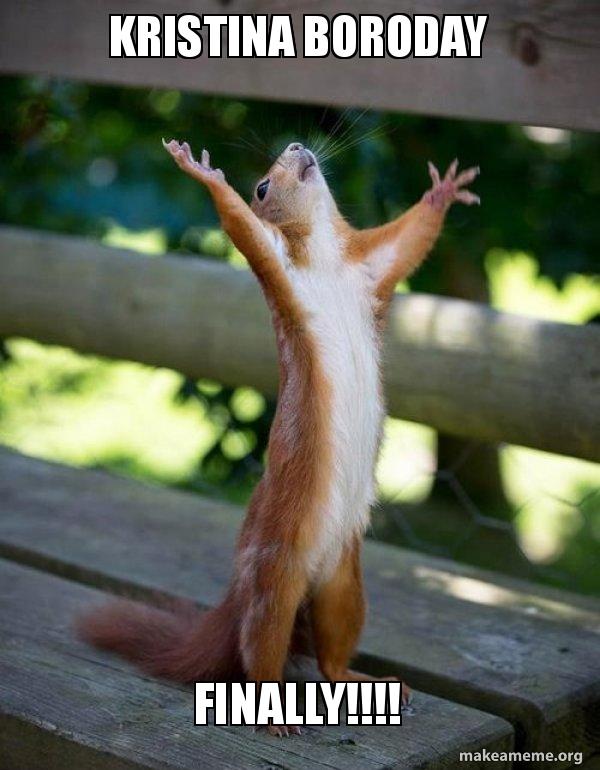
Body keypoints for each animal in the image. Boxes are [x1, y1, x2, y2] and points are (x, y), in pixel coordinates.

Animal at [79, 138, 479, 737]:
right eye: (262, 186)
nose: (296, 146)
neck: (327, 259)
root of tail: (240, 592)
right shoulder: (278, 266)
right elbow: (242, 227)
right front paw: (204, 173)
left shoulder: (371, 267)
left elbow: (408, 241)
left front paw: (443, 191)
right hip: (275, 576)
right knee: (259, 649)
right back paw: (274, 716)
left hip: (344, 583)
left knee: (332, 652)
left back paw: (359, 679)